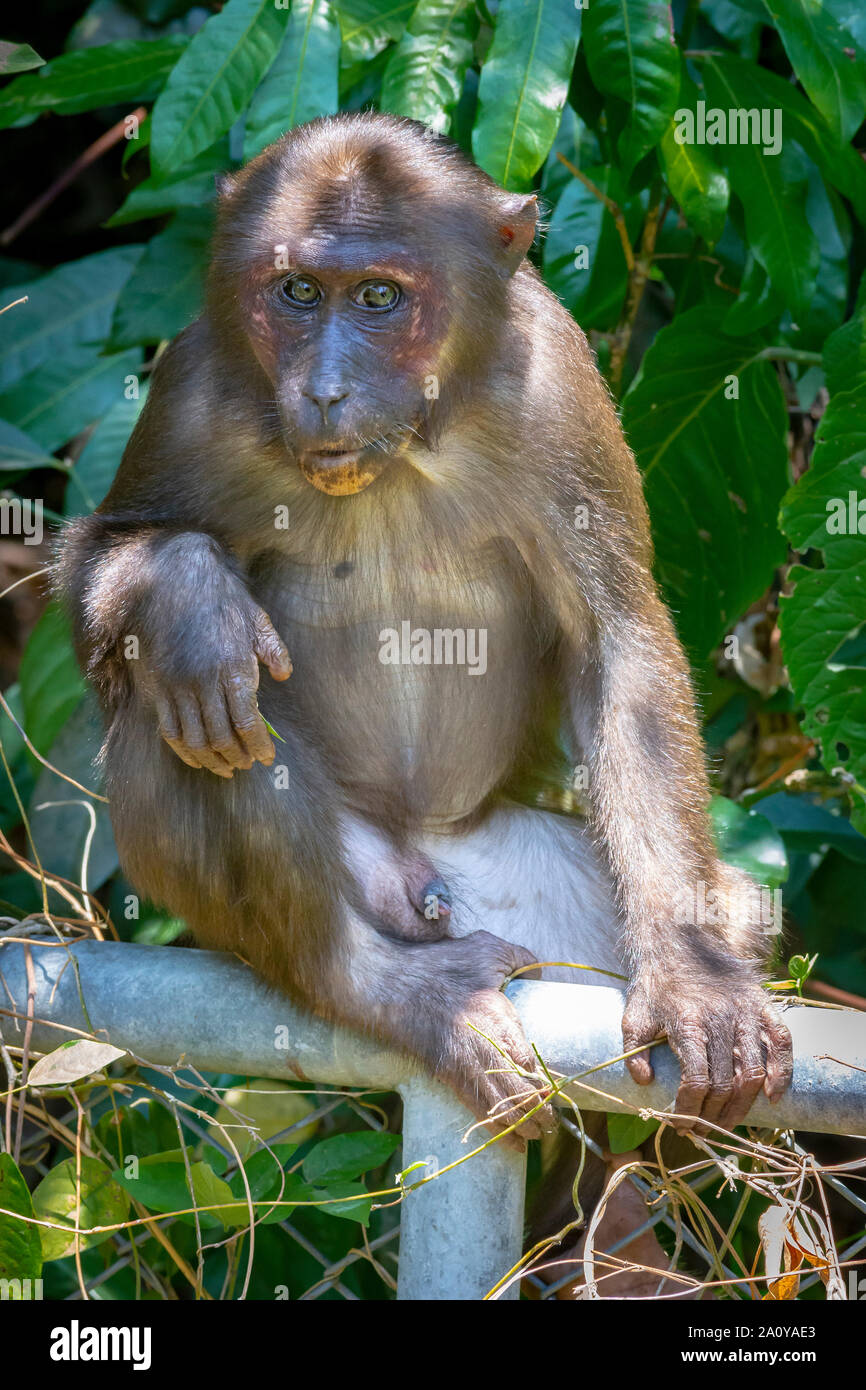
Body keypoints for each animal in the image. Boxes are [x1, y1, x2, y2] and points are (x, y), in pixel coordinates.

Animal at [56, 115, 793, 1189]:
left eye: (379, 298)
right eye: (297, 293)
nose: (326, 389)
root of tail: (428, 864)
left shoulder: (557, 387)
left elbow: (616, 643)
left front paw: (698, 982)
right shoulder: (196, 386)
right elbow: (101, 565)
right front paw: (189, 594)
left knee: (736, 904)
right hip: (369, 879)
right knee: (185, 711)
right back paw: (389, 988)